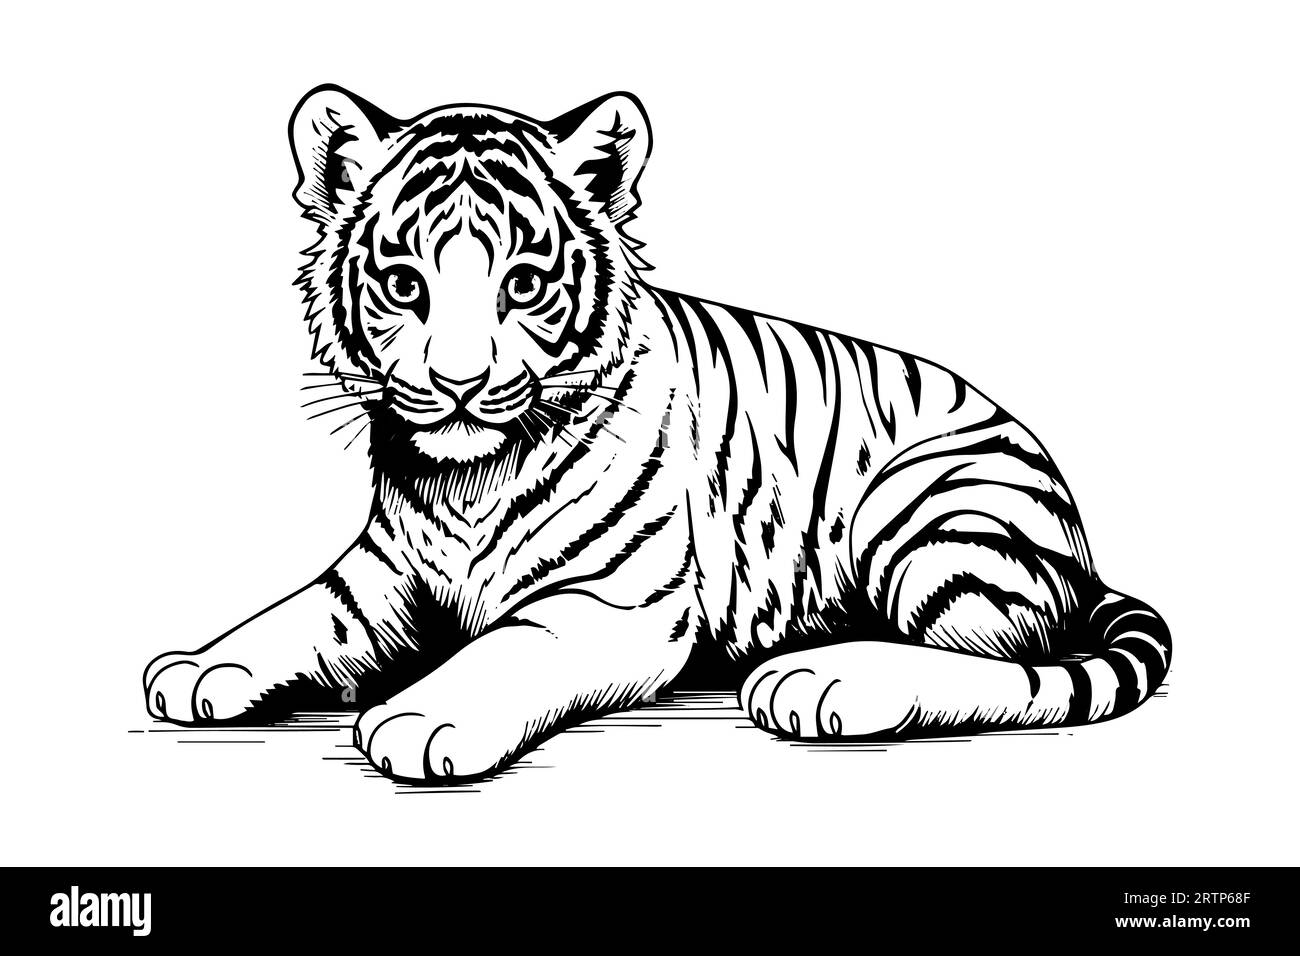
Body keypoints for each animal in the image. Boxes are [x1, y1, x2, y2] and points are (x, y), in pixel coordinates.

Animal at [143, 86, 1171, 782]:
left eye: (523, 284)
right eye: (405, 285)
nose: (458, 386)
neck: (465, 481)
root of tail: (1078, 546)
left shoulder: (613, 604)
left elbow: (509, 646)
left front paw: (423, 717)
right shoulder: (381, 580)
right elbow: (291, 617)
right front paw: (200, 666)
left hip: (927, 516)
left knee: (1003, 667)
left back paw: (822, 682)